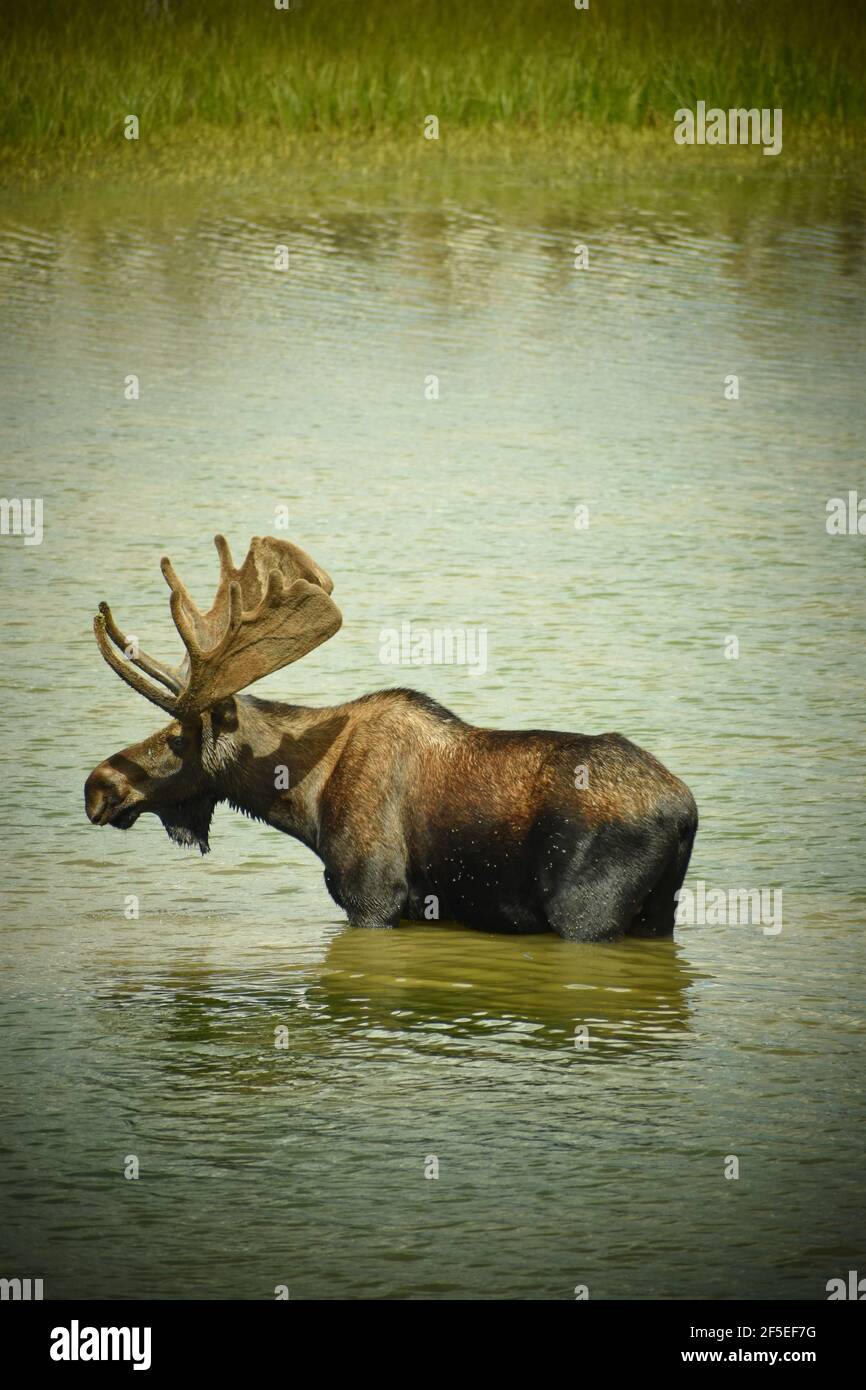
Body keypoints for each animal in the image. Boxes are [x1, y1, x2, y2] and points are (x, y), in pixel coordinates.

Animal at [84, 535, 698, 941]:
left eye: (177, 737)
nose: (97, 786)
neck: (304, 801)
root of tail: (685, 811)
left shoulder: (374, 894)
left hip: (586, 914)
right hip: (659, 913)